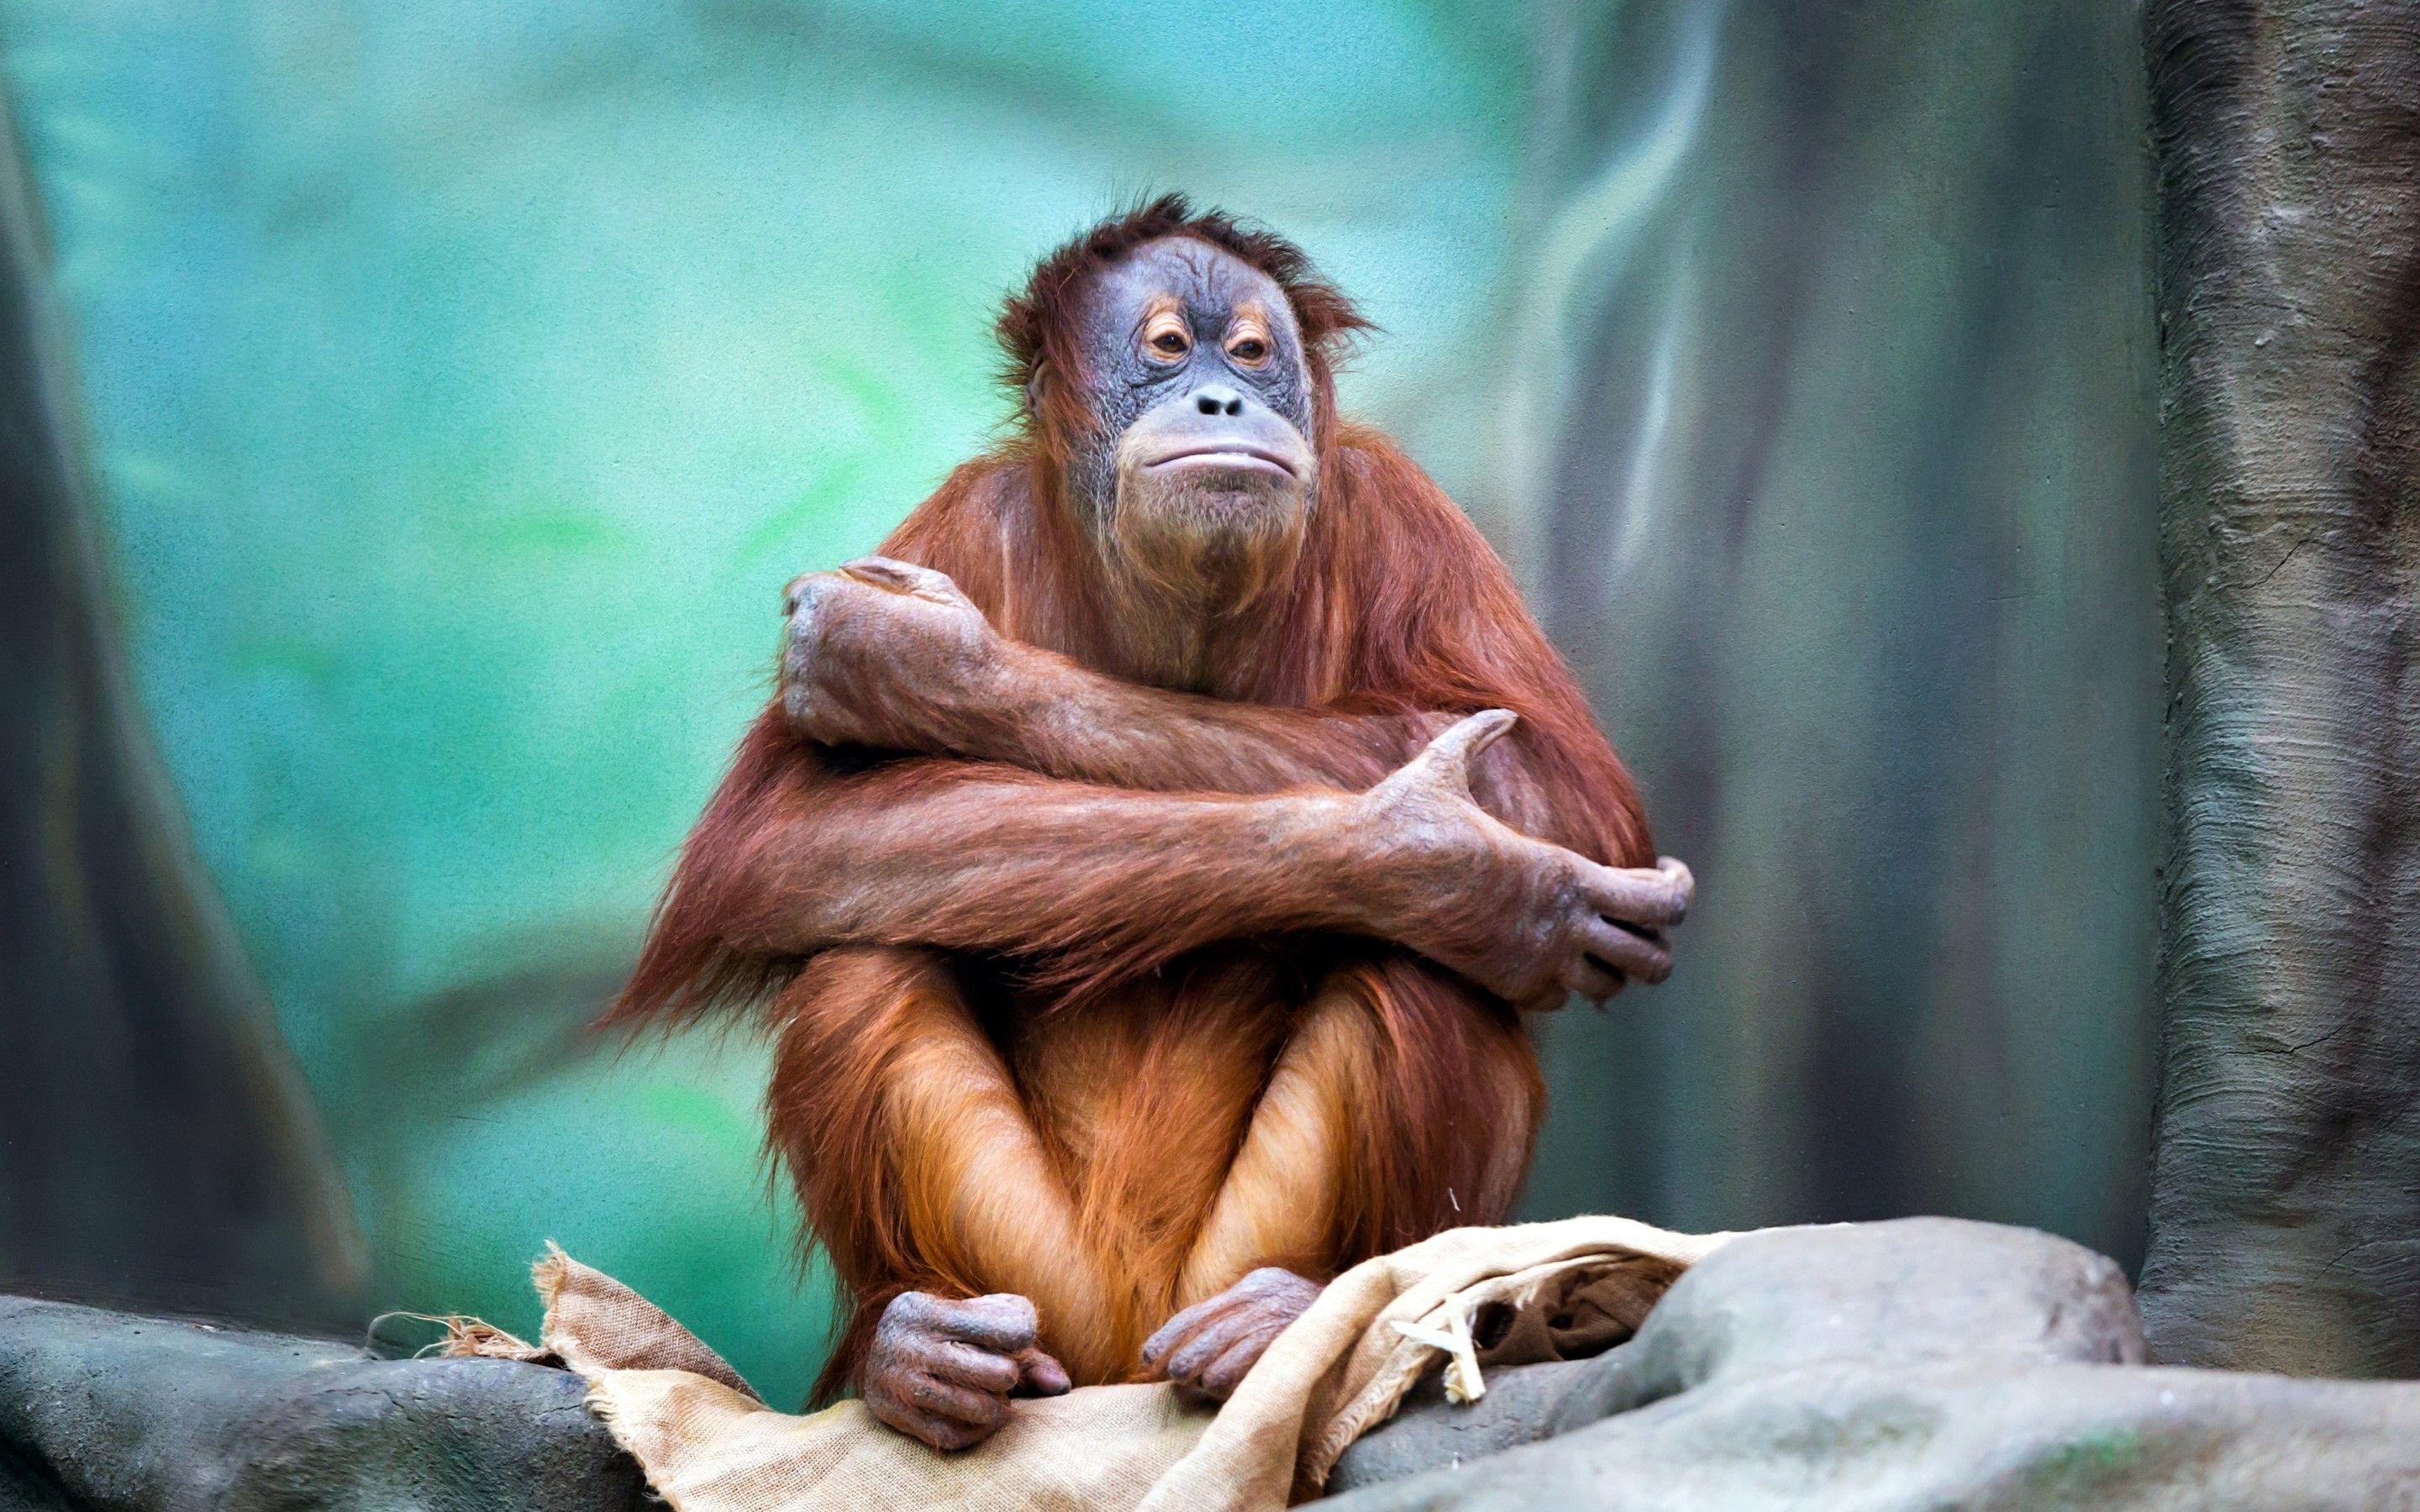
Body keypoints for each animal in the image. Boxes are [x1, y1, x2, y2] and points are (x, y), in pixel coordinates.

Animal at [610, 195, 1691, 1451]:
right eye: (1170, 349)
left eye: (1255, 354)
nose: (1222, 398)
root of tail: (1132, 1349)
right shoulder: (955, 523)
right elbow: (782, 837)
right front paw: (1443, 863)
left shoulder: (1400, 504)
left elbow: (1559, 784)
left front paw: (917, 661)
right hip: (1047, 1298)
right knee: (861, 960)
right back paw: (916, 1349)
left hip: (1220, 1266)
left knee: (1424, 968)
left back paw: (1297, 1314)